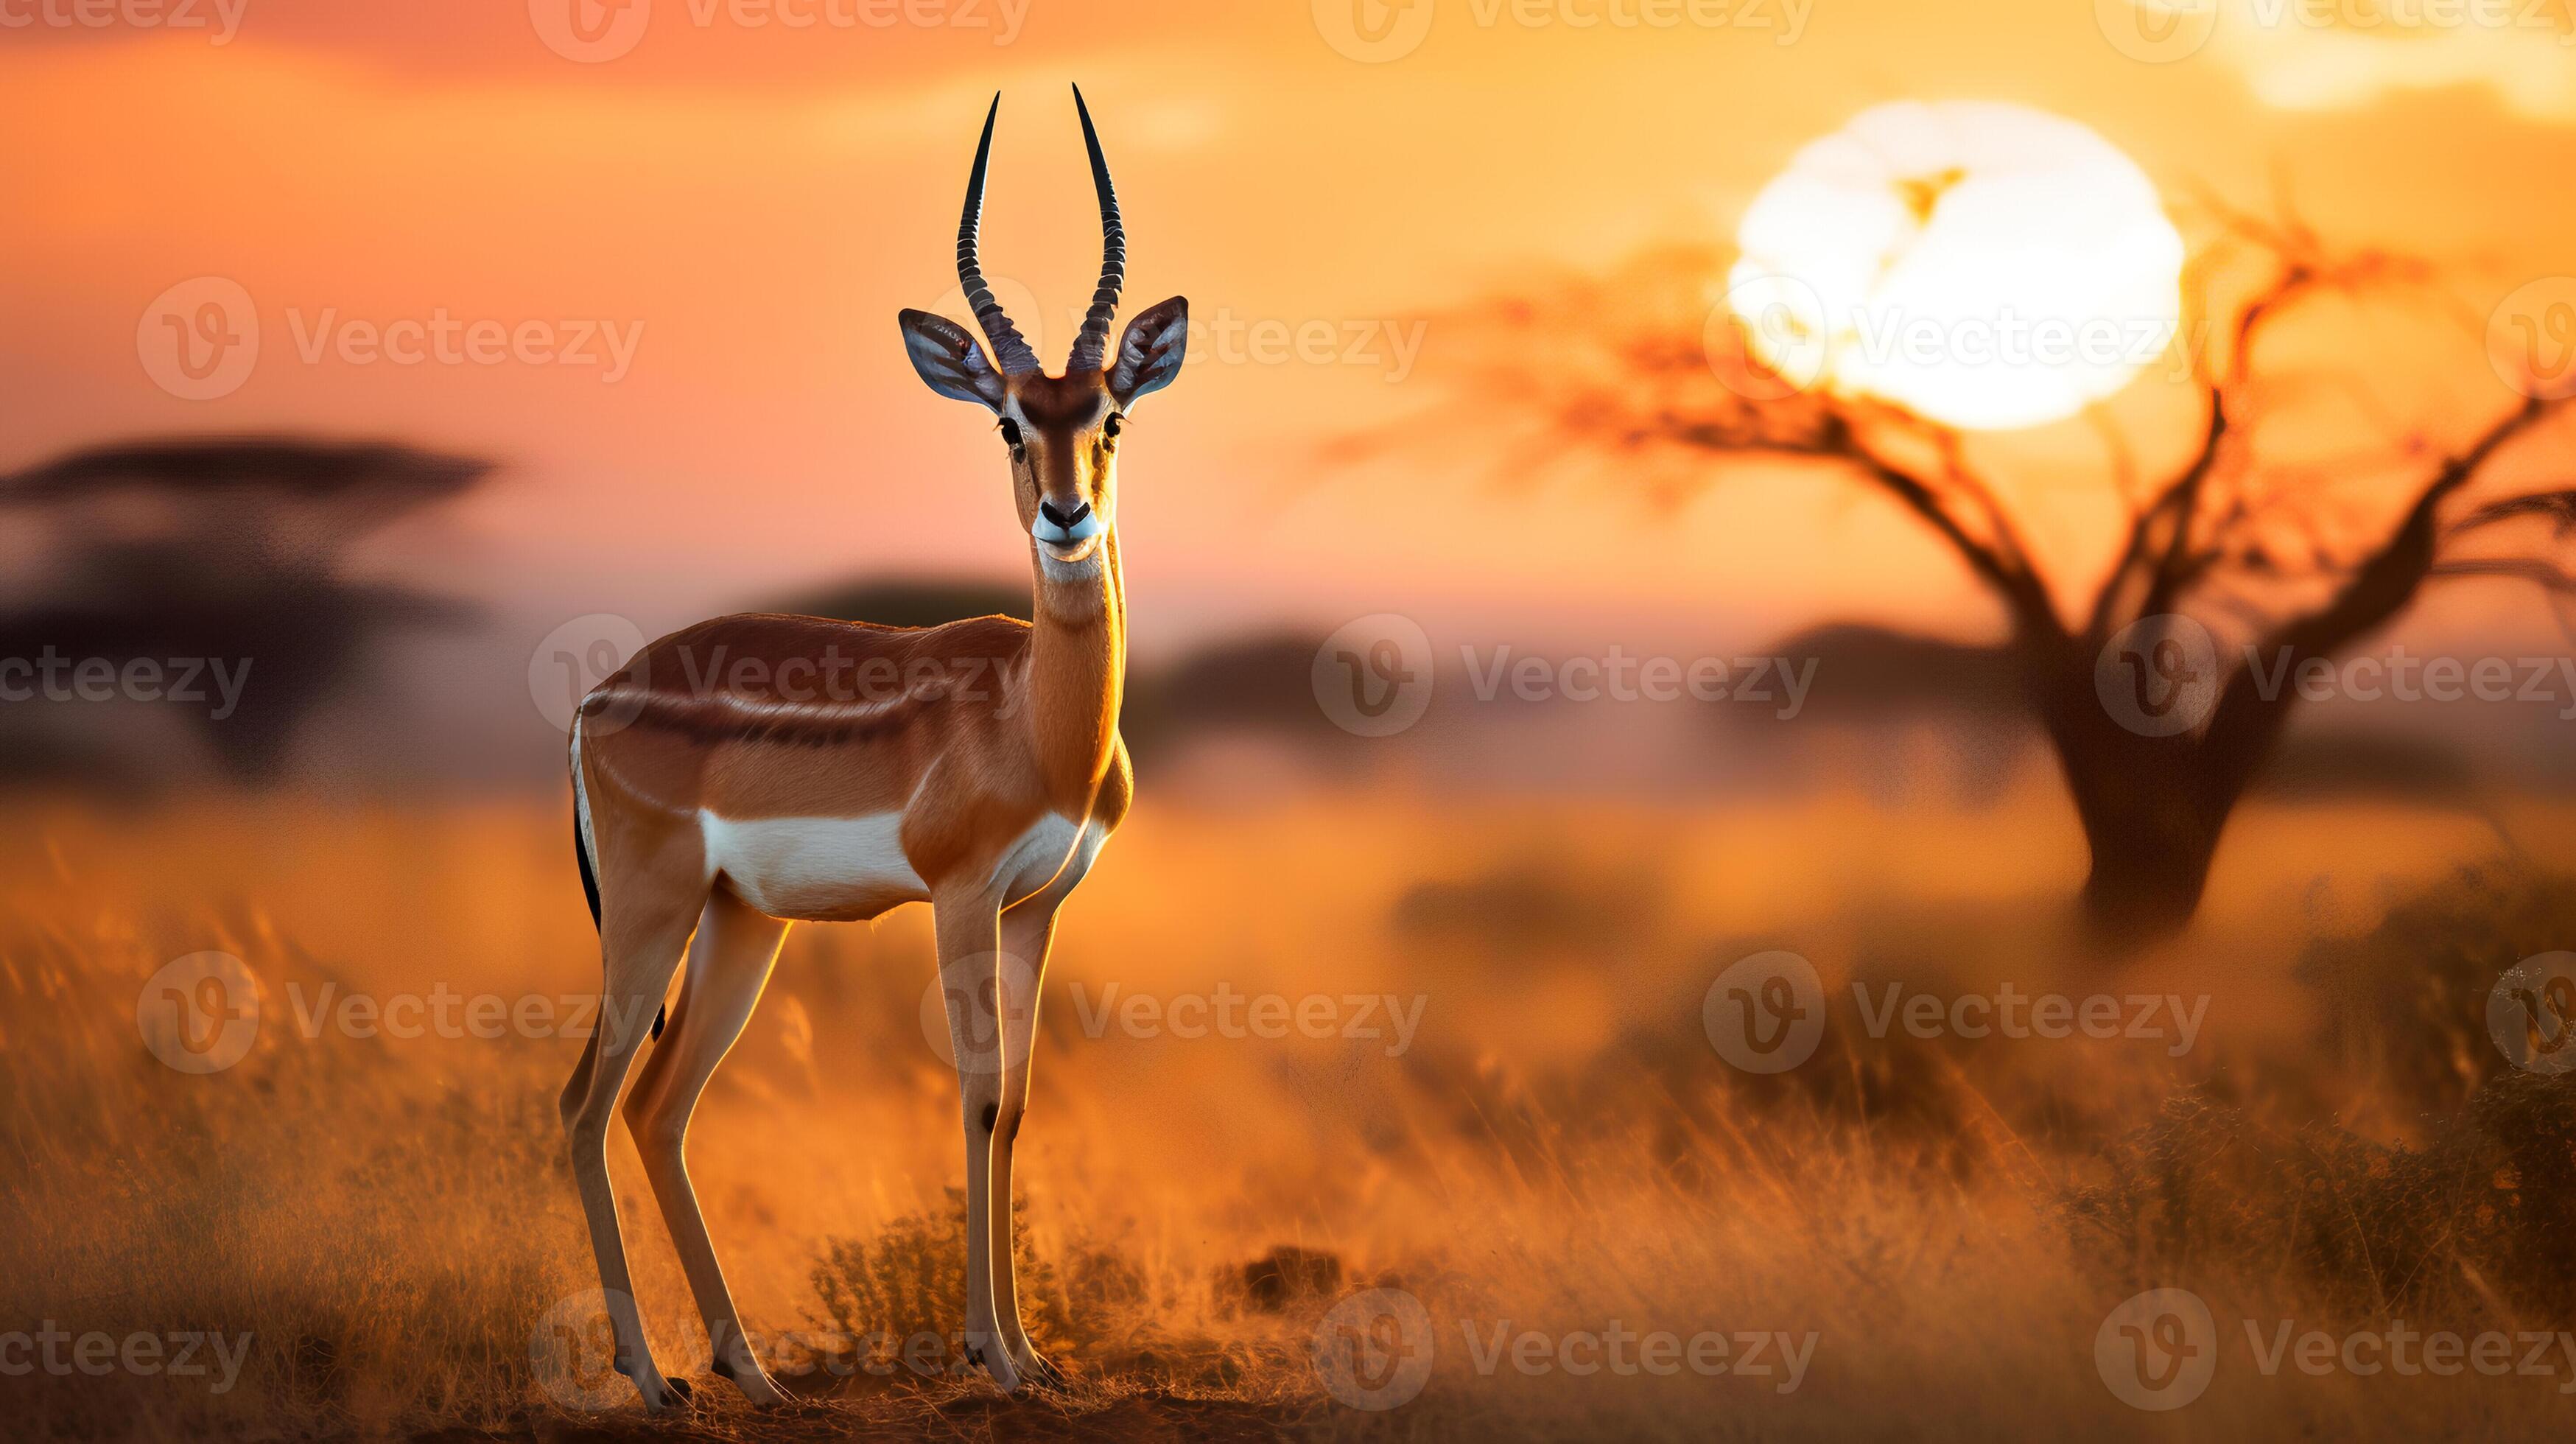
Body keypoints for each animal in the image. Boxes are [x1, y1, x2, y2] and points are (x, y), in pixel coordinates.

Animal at [557, 86, 1186, 1411]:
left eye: (1108, 416)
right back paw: (652, 1377)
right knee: (587, 1103)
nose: (1067, 517)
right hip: (649, 912)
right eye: (1008, 424)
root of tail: (598, 696)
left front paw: (1034, 1352)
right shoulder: (957, 896)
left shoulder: (1038, 907)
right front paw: (993, 1356)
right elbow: (975, 1091)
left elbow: (1018, 1100)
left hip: (742, 923)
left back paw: (748, 1370)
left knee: (657, 1107)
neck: (1035, 720)